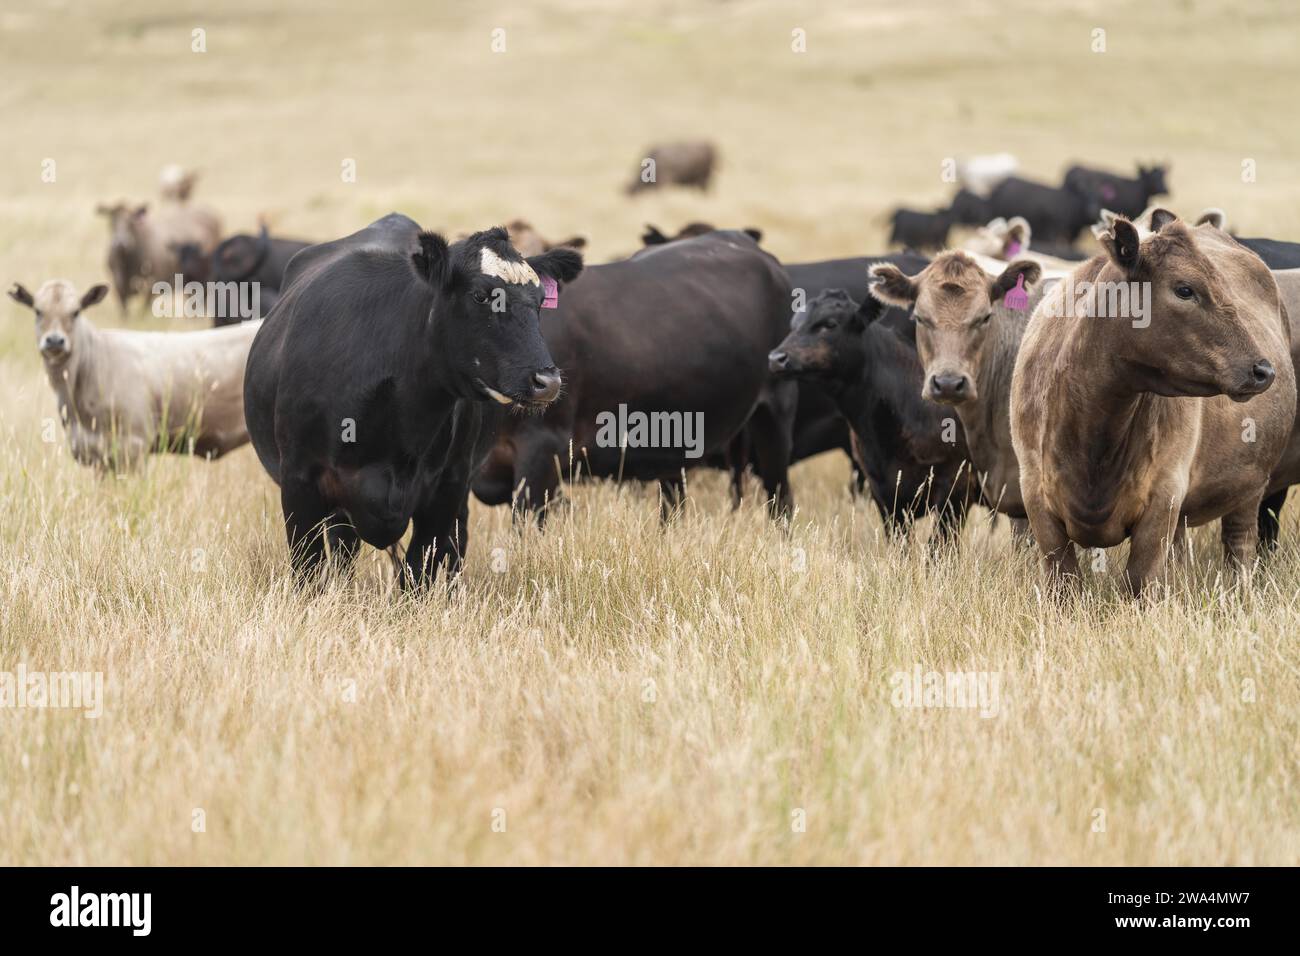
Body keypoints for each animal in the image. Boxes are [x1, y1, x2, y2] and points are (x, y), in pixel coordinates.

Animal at [243, 214, 582, 585]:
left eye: (540, 300)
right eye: (480, 296)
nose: (547, 382)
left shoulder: (447, 487)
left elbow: (419, 571)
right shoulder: (299, 480)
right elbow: (308, 569)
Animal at [1012, 210, 1294, 594]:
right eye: (1185, 289)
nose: (1263, 369)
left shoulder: (1163, 498)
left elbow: (1139, 580)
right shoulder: (1036, 496)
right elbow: (1065, 581)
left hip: (1250, 489)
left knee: (1240, 545)